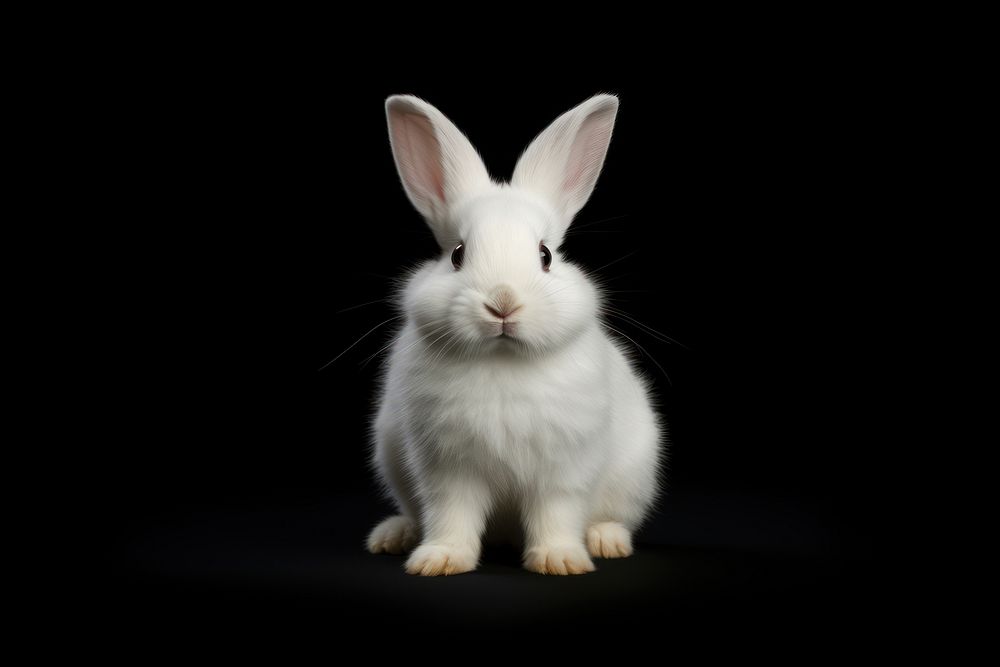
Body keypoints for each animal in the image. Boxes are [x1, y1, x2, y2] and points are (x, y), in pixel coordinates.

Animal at [366, 94, 664, 576]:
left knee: (611, 516)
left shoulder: (563, 469)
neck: (501, 359)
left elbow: (556, 512)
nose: (503, 302)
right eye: (457, 254)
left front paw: (560, 560)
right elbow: (451, 513)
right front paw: (440, 560)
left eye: (545, 255)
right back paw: (395, 535)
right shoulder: (448, 469)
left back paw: (606, 541)